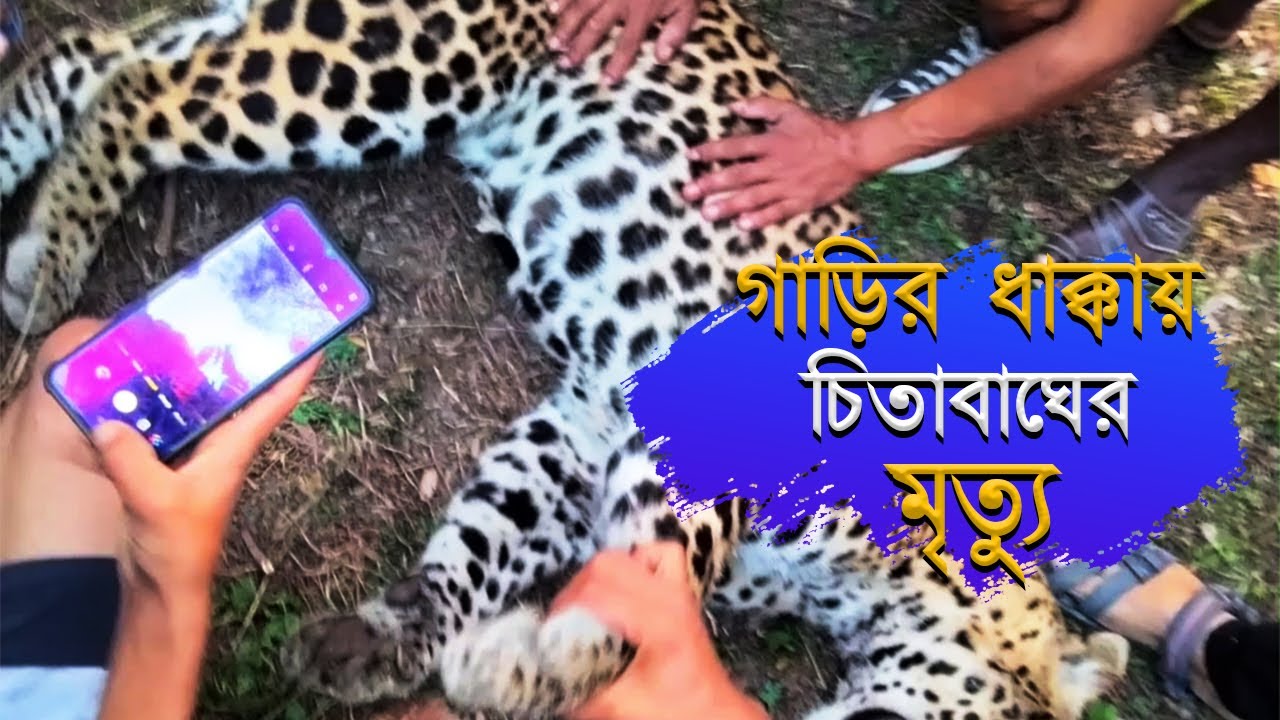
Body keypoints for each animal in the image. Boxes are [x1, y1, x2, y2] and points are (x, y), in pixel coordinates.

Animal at [0, 0, 1130, 717]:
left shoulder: (586, 425)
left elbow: (488, 542)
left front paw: (394, 646)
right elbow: (644, 601)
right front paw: (528, 674)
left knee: (91, 51)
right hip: (403, 67)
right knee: (141, 88)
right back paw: (49, 260)